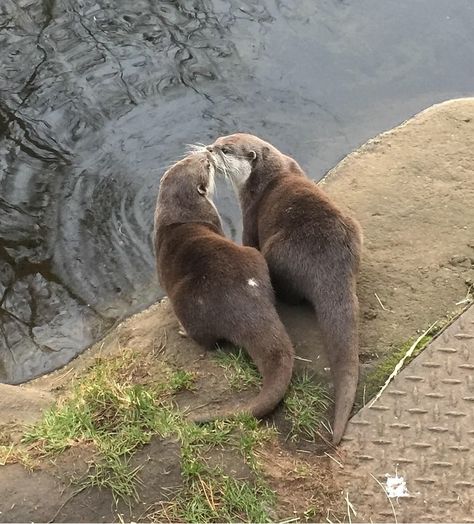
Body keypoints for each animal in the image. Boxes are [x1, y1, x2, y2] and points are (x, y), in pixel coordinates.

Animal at [154, 151, 294, 422]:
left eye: (205, 164)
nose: (205, 152)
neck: (179, 217)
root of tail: (243, 304)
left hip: (187, 301)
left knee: (205, 340)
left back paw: (183, 331)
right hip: (254, 256)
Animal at [205, 133, 362, 444]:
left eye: (225, 149)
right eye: (218, 140)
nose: (208, 149)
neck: (272, 173)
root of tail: (330, 261)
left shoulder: (251, 212)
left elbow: (248, 240)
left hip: (276, 251)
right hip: (355, 228)